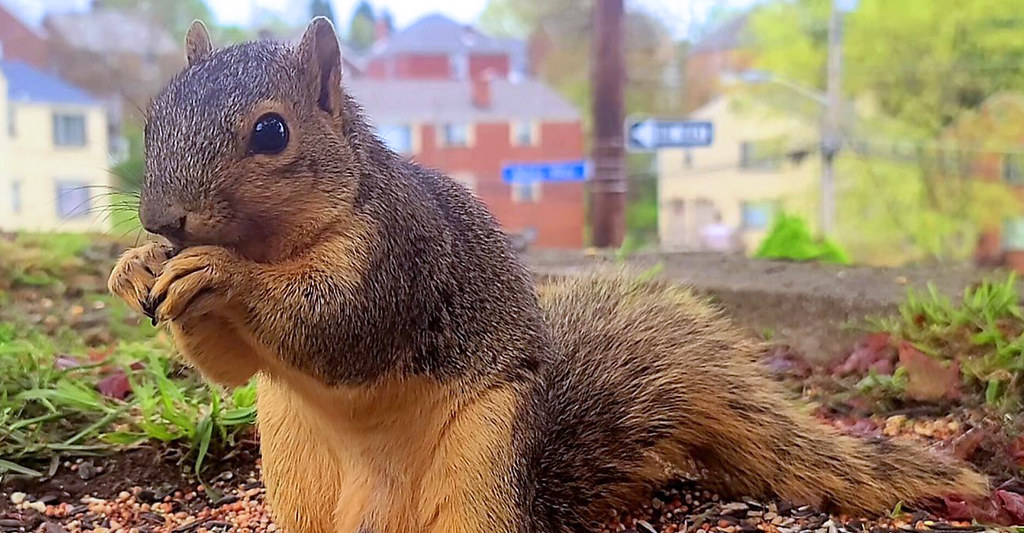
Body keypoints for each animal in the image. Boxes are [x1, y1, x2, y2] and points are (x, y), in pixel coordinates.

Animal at [107, 17, 988, 533]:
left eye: (272, 132)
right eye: (152, 119)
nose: (162, 218)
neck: (284, 239)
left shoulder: (400, 255)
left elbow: (340, 326)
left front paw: (220, 271)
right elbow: (233, 365)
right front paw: (135, 265)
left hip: (482, 458)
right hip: (294, 463)